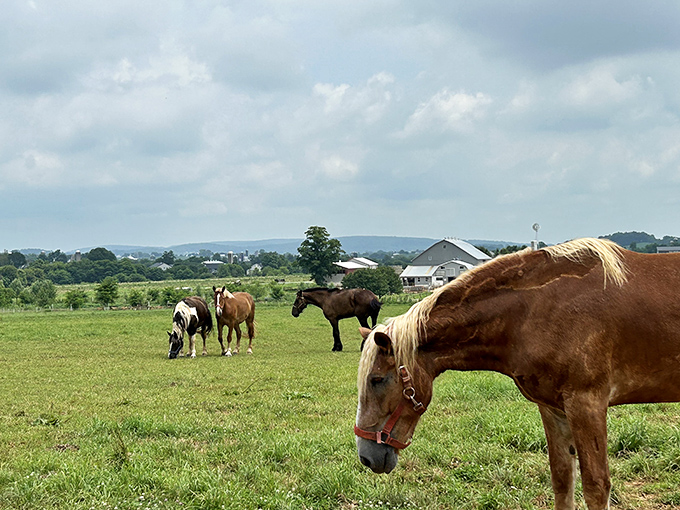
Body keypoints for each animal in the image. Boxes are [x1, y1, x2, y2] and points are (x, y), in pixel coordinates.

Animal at [355, 238, 680, 510]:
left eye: (377, 380)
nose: (366, 456)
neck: (534, 309)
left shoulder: (587, 406)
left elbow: (596, 487)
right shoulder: (553, 409)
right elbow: (562, 480)